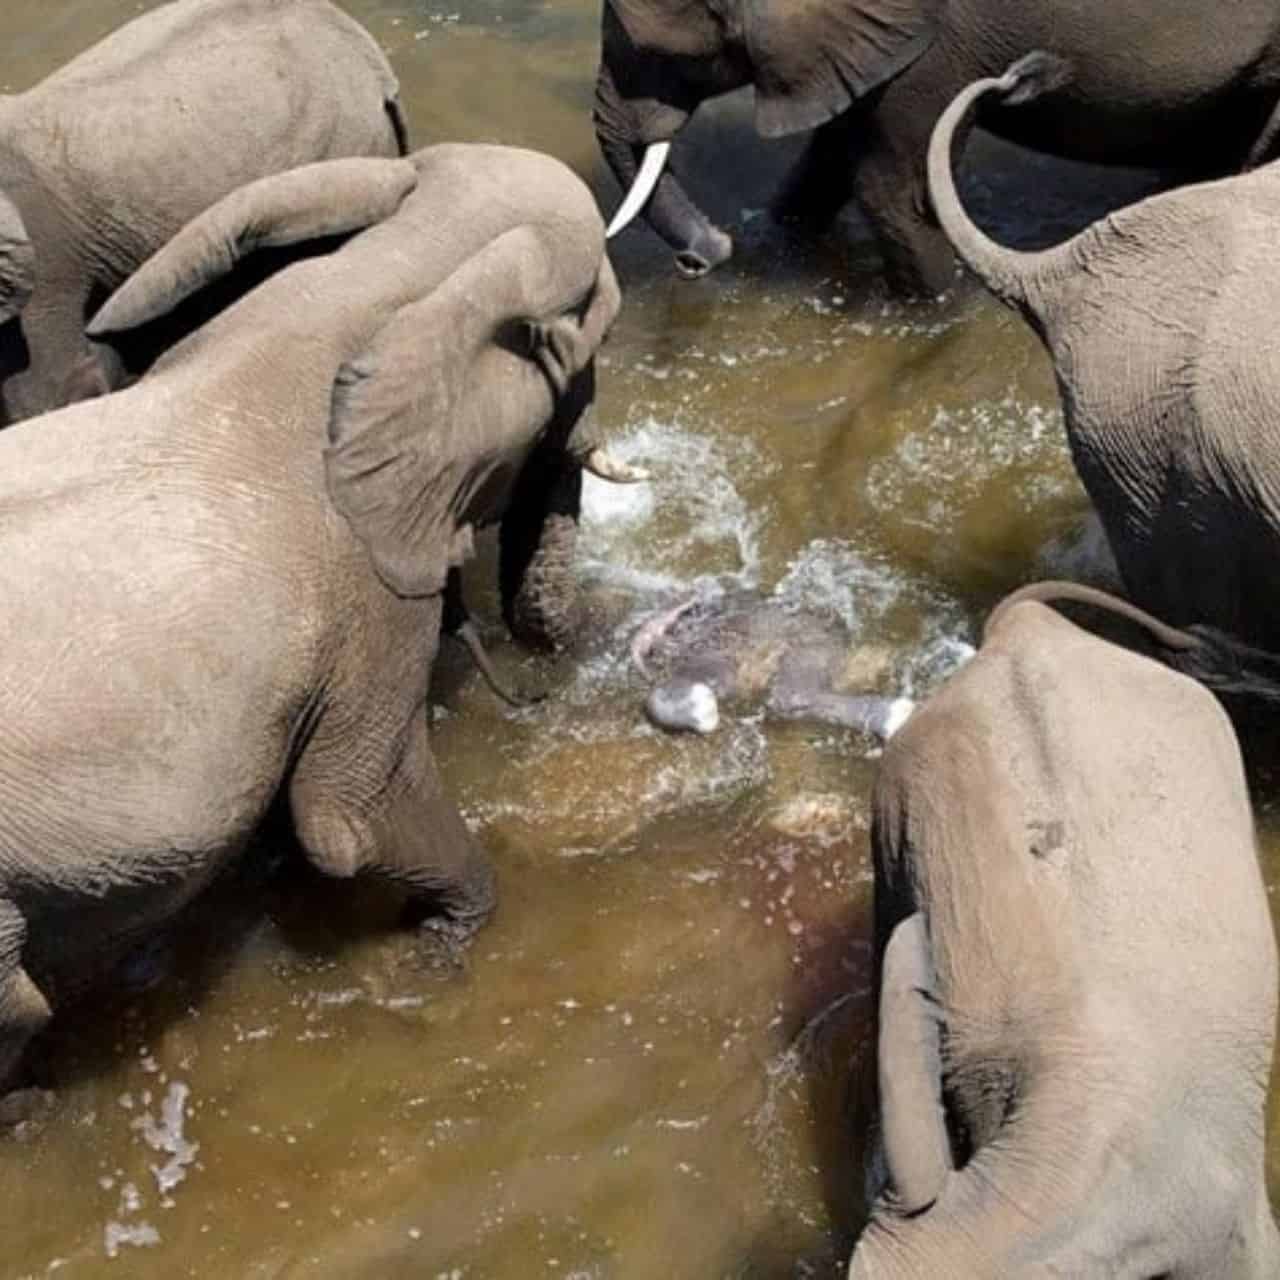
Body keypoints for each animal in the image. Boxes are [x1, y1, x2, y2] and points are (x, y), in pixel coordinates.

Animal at [0, 142, 638, 1101]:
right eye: (597, 319)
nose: (541, 690)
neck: (381, 278)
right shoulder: (364, 599)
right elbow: (351, 818)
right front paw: (442, 948)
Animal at [595, 0, 1280, 293]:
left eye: (657, 55)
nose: (706, 255)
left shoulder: (932, 46)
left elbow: (893, 192)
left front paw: (930, 317)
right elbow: (828, 163)